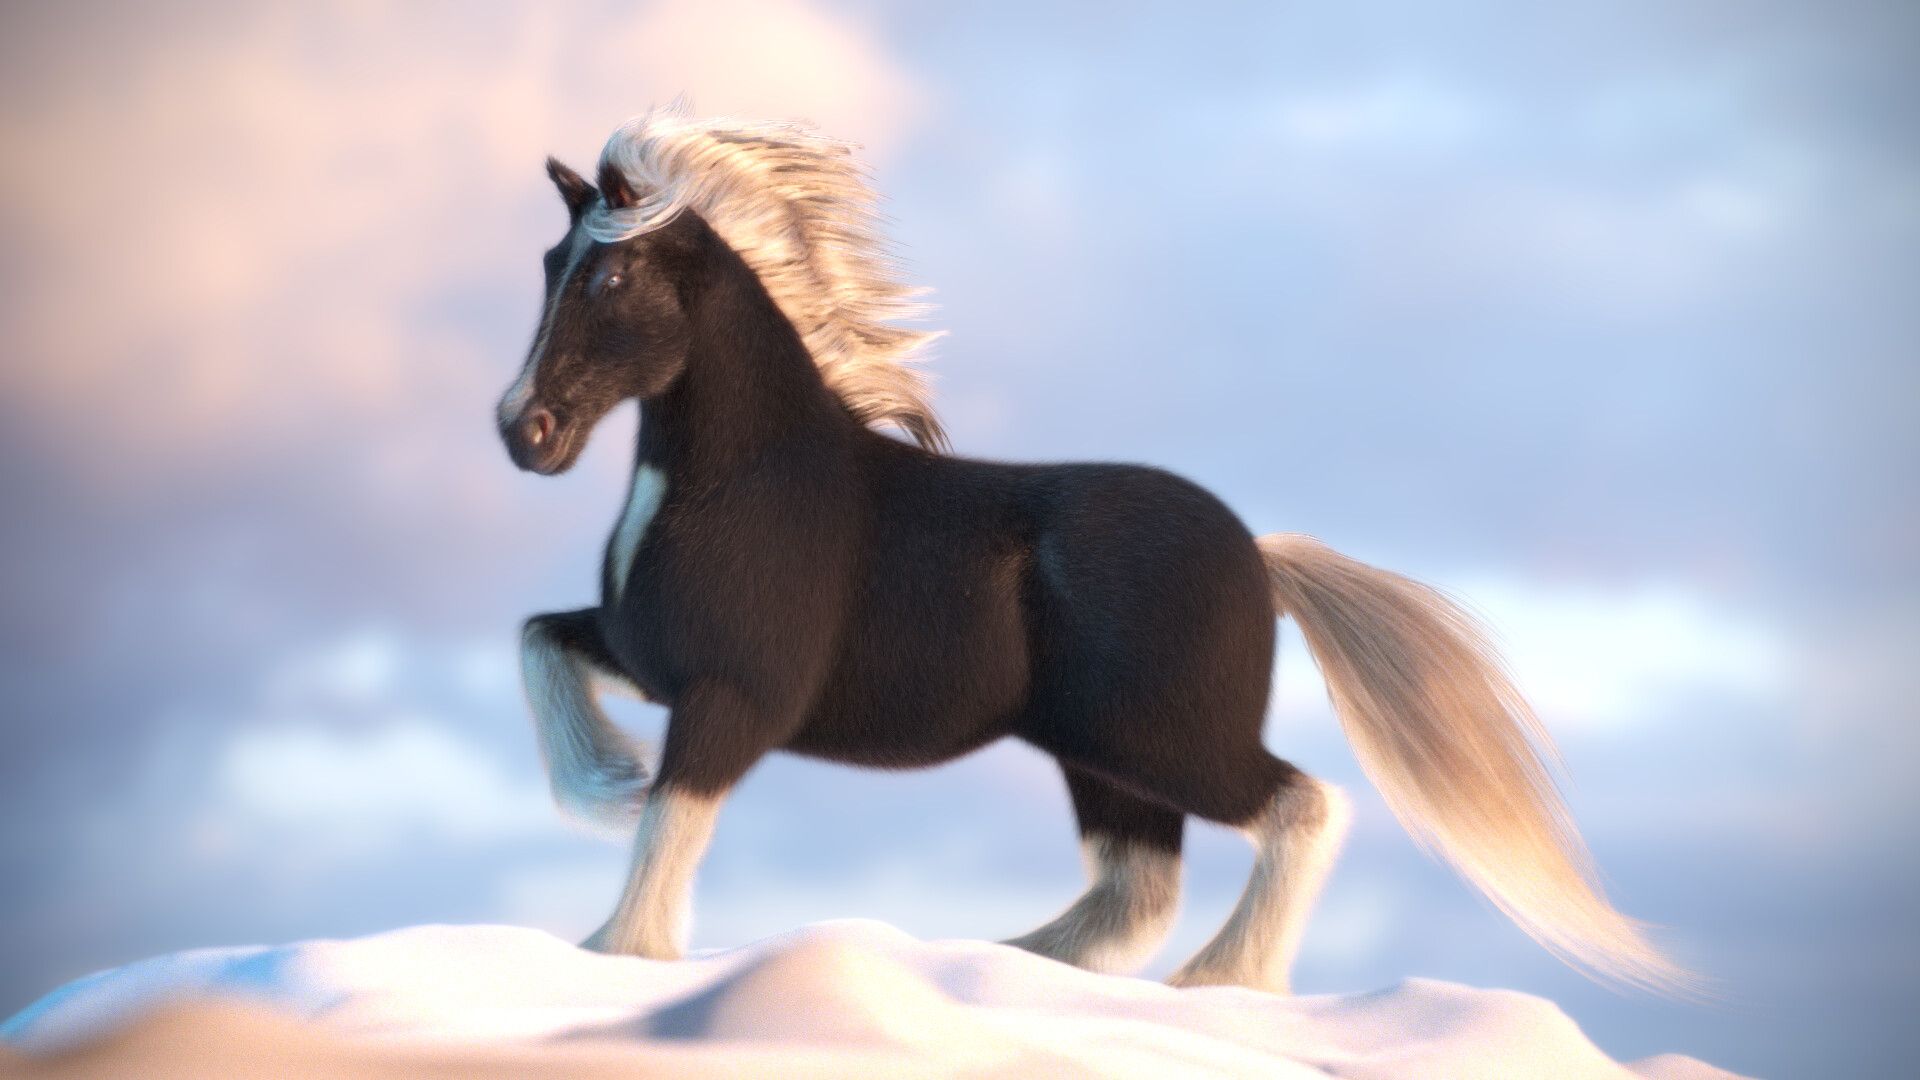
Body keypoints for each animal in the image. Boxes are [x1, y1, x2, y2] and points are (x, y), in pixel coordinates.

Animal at [495, 106, 1686, 995]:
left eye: (609, 280)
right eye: (550, 263)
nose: (523, 432)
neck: (747, 477)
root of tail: (1260, 554)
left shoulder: (735, 696)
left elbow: (672, 828)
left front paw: (618, 944)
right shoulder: (647, 658)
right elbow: (541, 643)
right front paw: (609, 781)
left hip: (1160, 739)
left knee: (1300, 808)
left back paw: (1219, 981)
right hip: (1100, 754)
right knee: (1136, 889)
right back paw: (1008, 961)